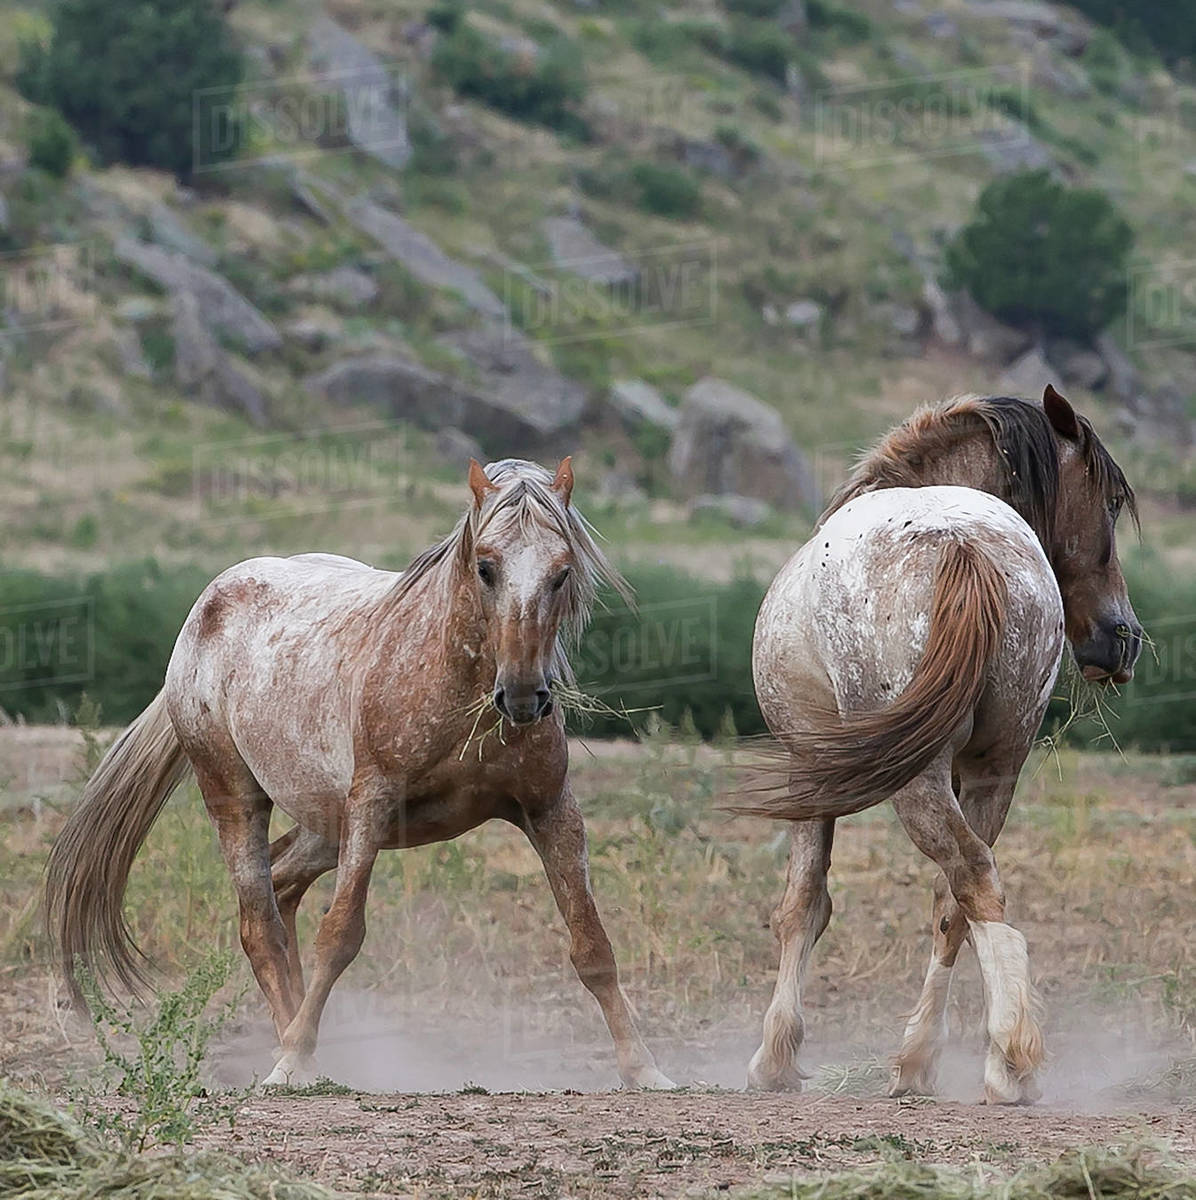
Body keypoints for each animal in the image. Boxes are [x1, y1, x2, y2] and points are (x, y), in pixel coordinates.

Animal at [45, 457, 675, 1091]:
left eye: (562, 572)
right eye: (486, 567)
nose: (523, 696)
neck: (454, 683)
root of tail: (208, 604)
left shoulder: (550, 809)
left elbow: (592, 944)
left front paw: (644, 1068)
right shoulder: (373, 802)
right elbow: (340, 934)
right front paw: (291, 1060)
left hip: (328, 825)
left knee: (282, 889)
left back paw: (304, 1043)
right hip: (236, 796)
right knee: (259, 923)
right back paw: (294, 1055)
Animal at [740, 385, 1140, 1104]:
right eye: (1111, 500)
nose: (1122, 639)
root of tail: (959, 542)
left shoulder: (807, 771)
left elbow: (804, 904)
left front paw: (775, 1057)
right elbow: (938, 905)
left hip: (916, 780)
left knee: (970, 877)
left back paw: (1010, 1052)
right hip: (994, 770)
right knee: (963, 892)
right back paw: (931, 1059)